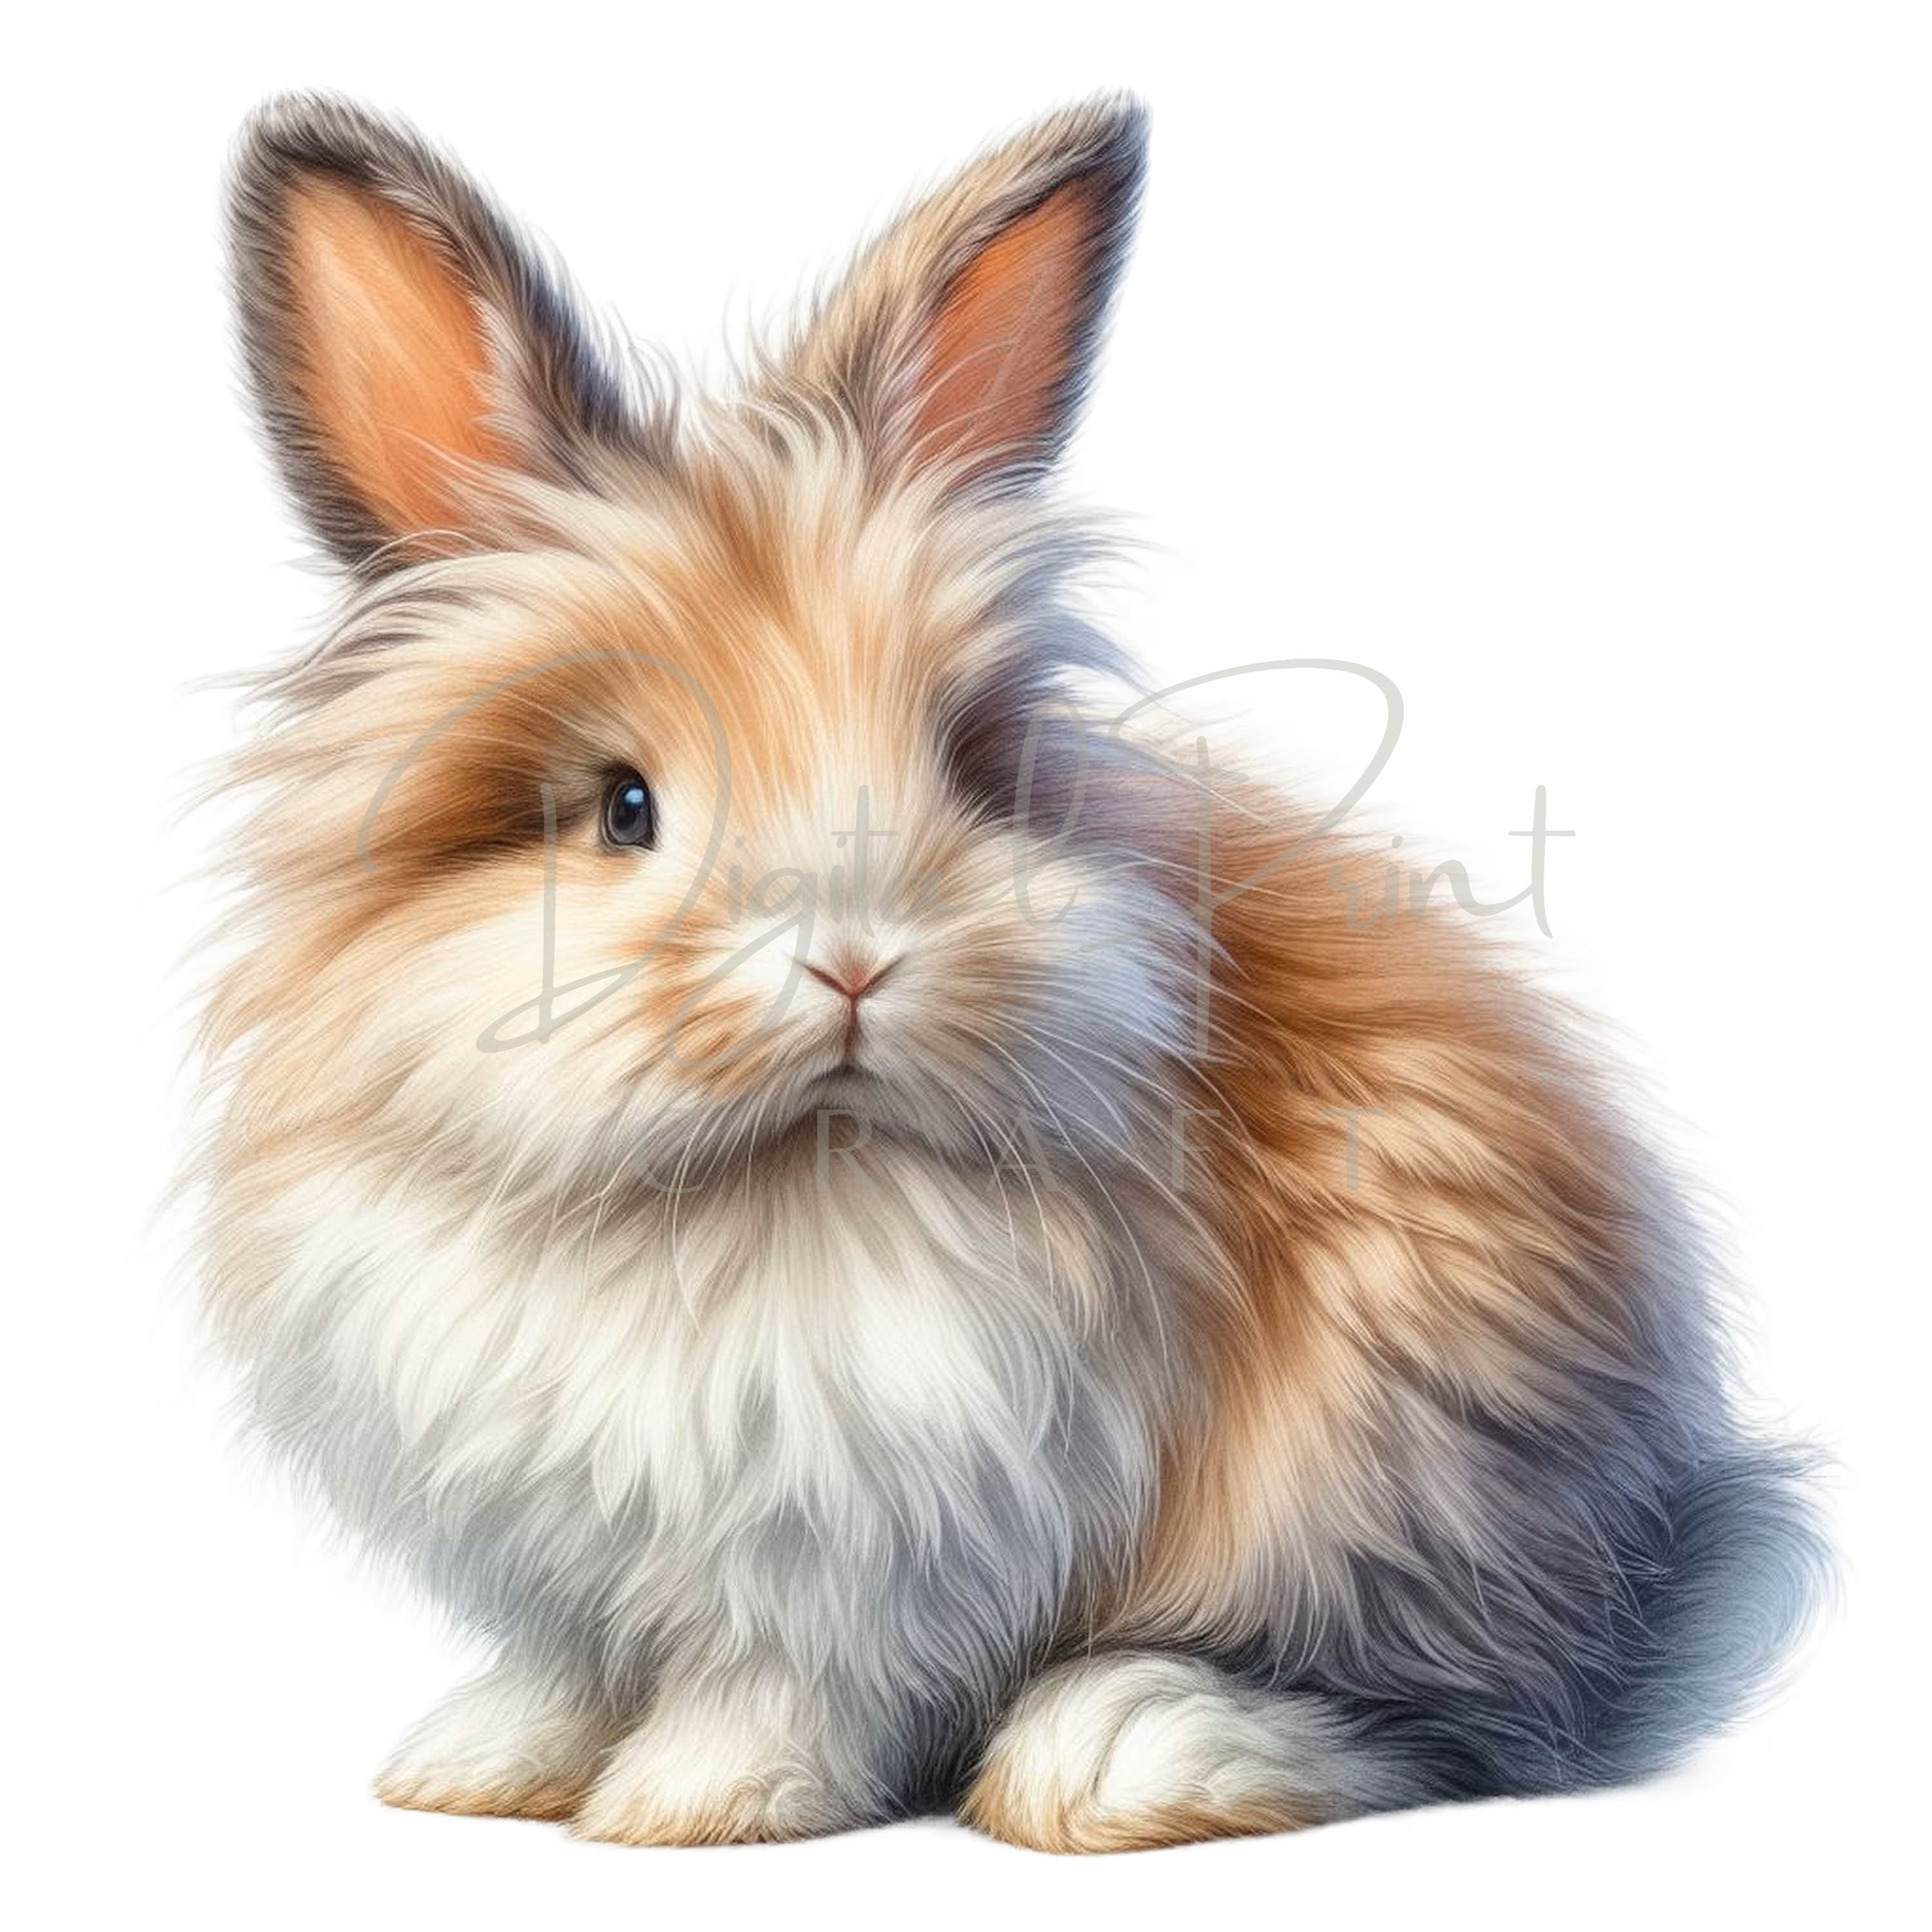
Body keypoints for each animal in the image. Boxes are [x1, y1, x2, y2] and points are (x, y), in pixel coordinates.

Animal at [195, 91, 1826, 1851]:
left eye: (971, 770)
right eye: (624, 806)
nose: (854, 962)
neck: (750, 1182)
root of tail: (1663, 1547)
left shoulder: (876, 1540)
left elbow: (784, 1676)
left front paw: (700, 1799)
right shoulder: (573, 1541)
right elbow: (576, 1655)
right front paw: (481, 1766)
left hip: (1391, 1477)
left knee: (1472, 1725)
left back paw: (1126, 1748)